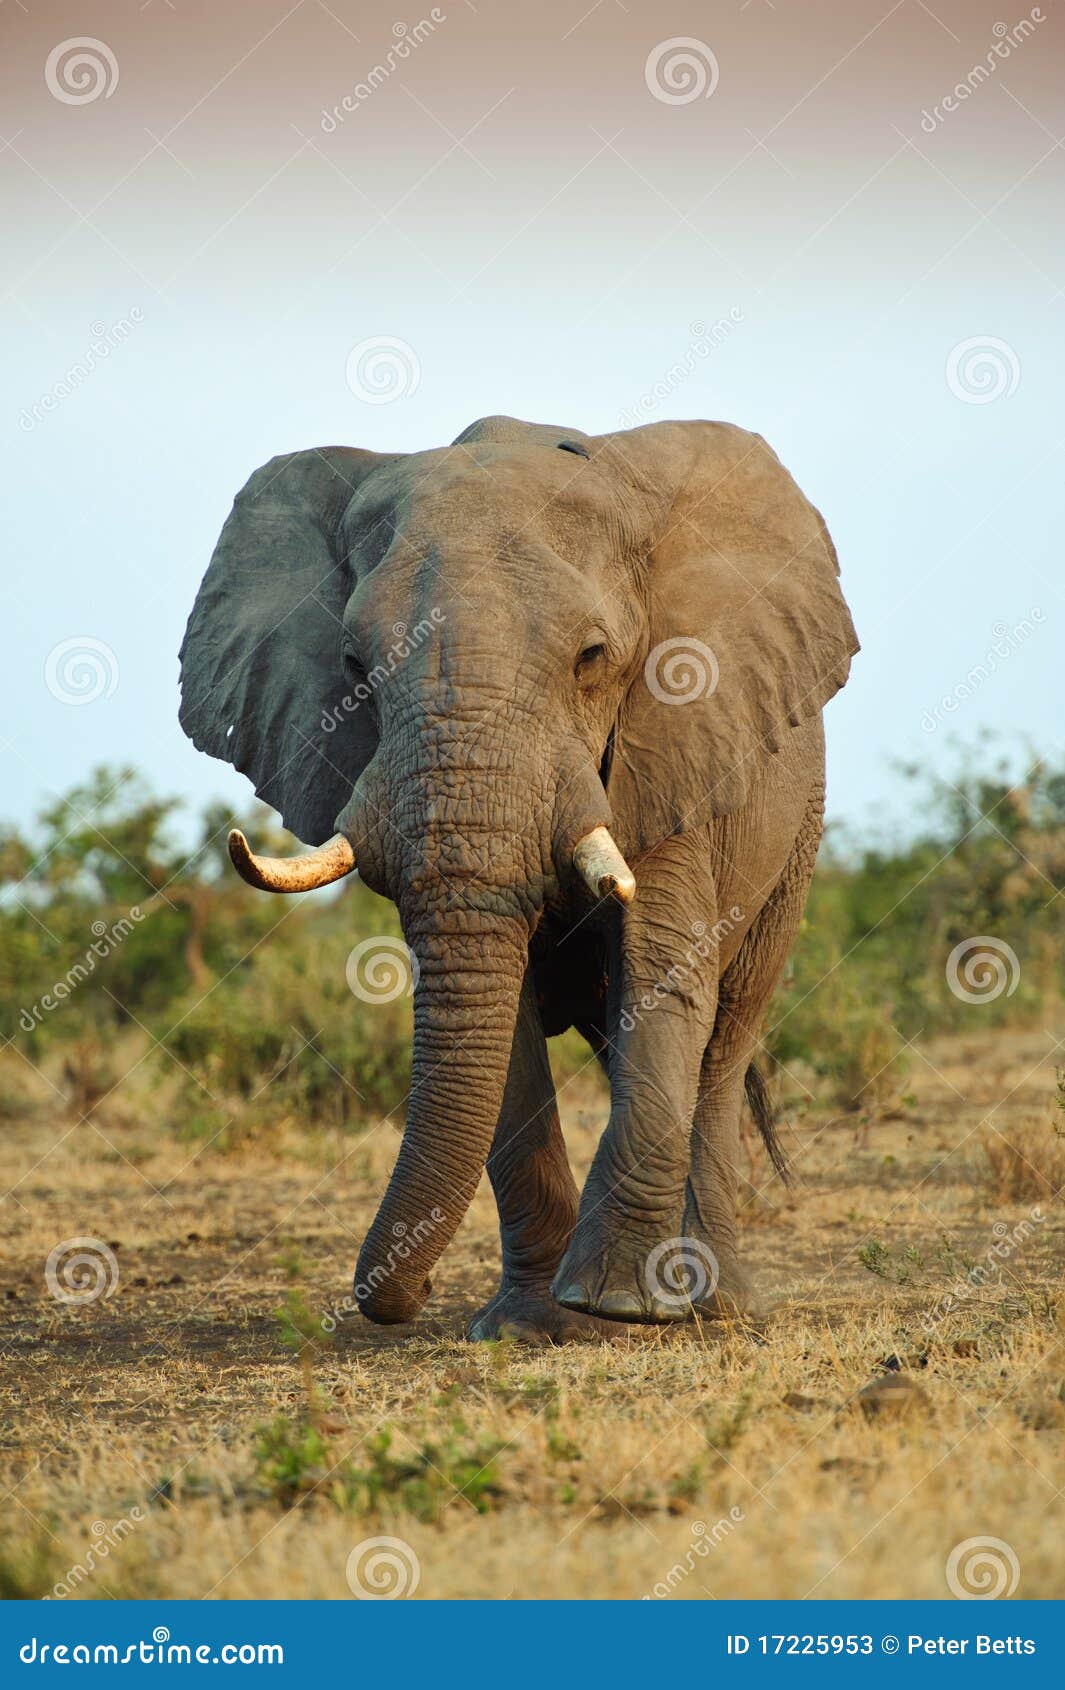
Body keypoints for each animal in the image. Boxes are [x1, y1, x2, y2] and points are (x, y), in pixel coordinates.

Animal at [179, 414, 858, 1342]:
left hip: (793, 837)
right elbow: (503, 1026)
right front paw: (534, 1327)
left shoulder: (673, 743)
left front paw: (614, 1302)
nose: (406, 1294)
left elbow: (664, 972)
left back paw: (712, 1304)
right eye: (353, 668)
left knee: (726, 1037)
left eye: (592, 657)